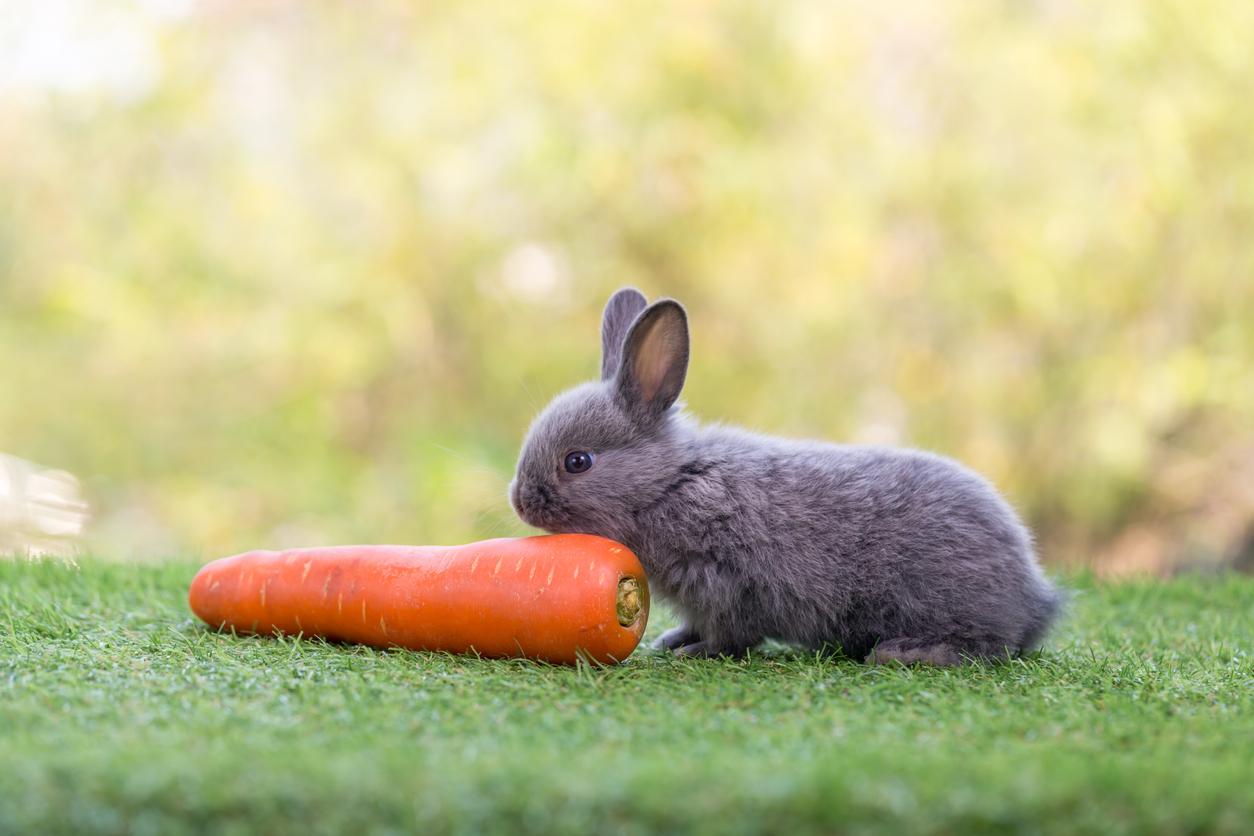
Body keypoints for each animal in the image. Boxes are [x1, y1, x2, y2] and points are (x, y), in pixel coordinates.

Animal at [509, 287, 1063, 664]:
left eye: (577, 461)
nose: (520, 500)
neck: (670, 483)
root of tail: (1034, 596)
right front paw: (675, 640)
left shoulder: (725, 581)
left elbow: (732, 634)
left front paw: (693, 652)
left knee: (988, 646)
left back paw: (905, 653)